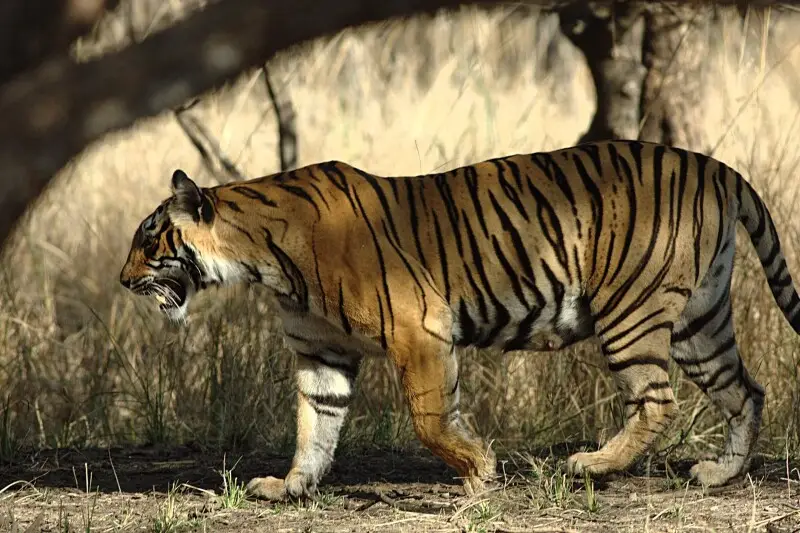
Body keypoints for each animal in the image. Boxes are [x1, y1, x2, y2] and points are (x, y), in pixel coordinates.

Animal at [119, 139, 800, 500]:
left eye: (149, 241)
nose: (123, 282)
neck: (261, 259)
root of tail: (716, 167)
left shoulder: (418, 331)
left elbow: (428, 420)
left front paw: (477, 471)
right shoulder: (321, 354)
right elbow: (315, 426)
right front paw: (288, 488)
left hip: (631, 311)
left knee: (658, 399)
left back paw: (591, 466)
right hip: (698, 321)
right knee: (746, 391)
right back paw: (718, 474)